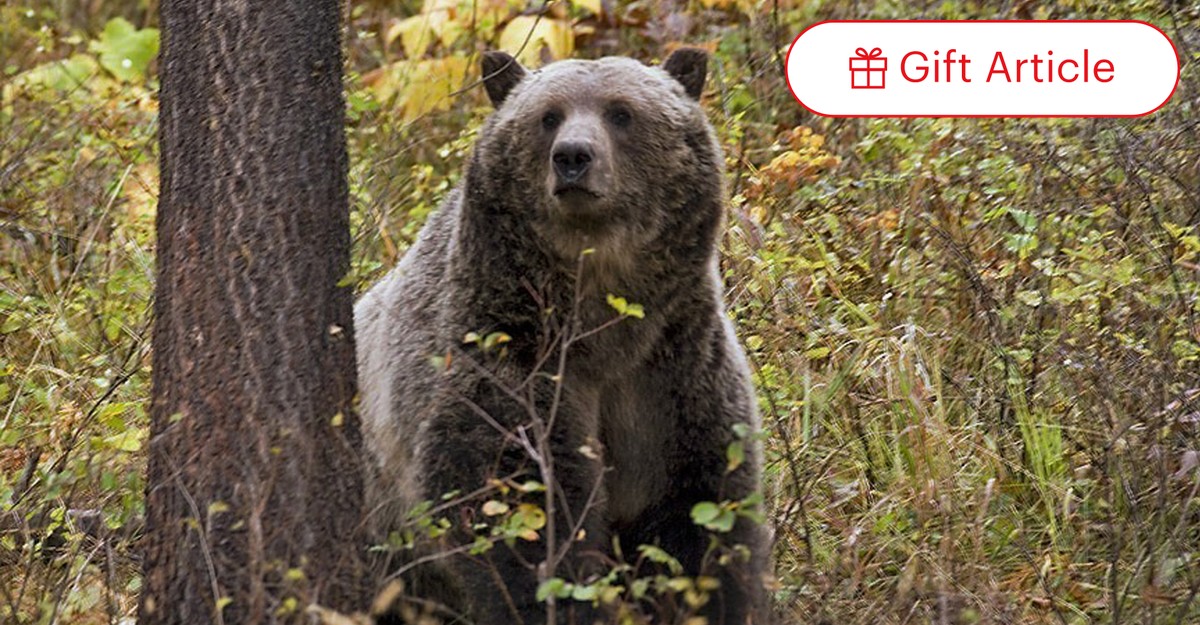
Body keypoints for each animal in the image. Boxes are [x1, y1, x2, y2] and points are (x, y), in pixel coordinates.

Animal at [355, 48, 768, 625]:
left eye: (621, 112)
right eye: (548, 115)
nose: (573, 156)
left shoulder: (673, 371)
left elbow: (700, 517)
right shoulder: (507, 354)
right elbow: (521, 510)